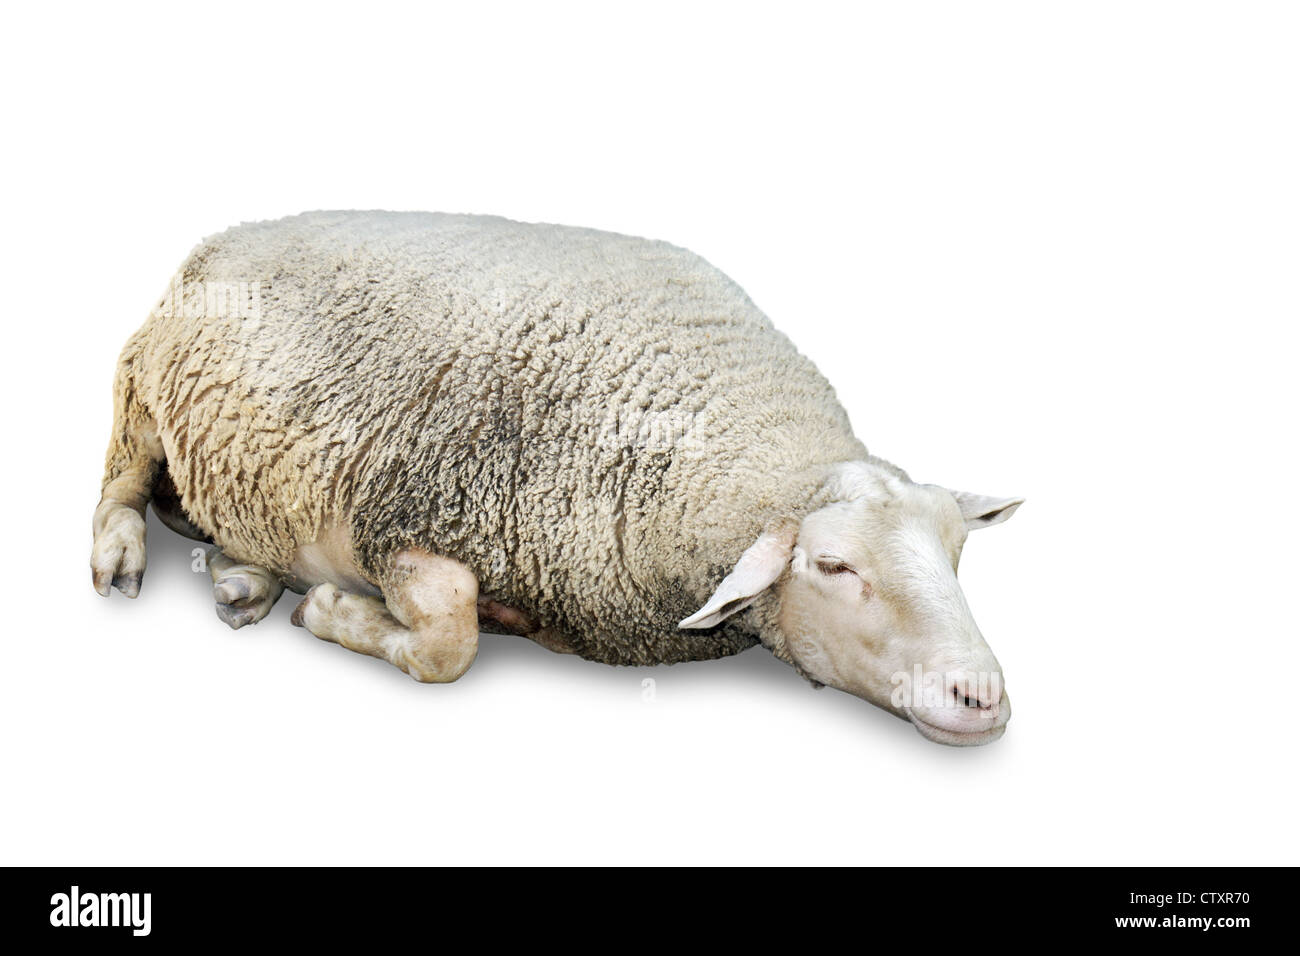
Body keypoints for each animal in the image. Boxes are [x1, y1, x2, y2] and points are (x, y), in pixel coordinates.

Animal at [91, 211, 1023, 744]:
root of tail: (225, 235)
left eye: (957, 555)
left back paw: (243, 577)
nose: (980, 697)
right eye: (833, 566)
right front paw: (330, 611)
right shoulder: (404, 517)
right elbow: (450, 642)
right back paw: (128, 558)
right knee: (122, 483)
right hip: (141, 387)